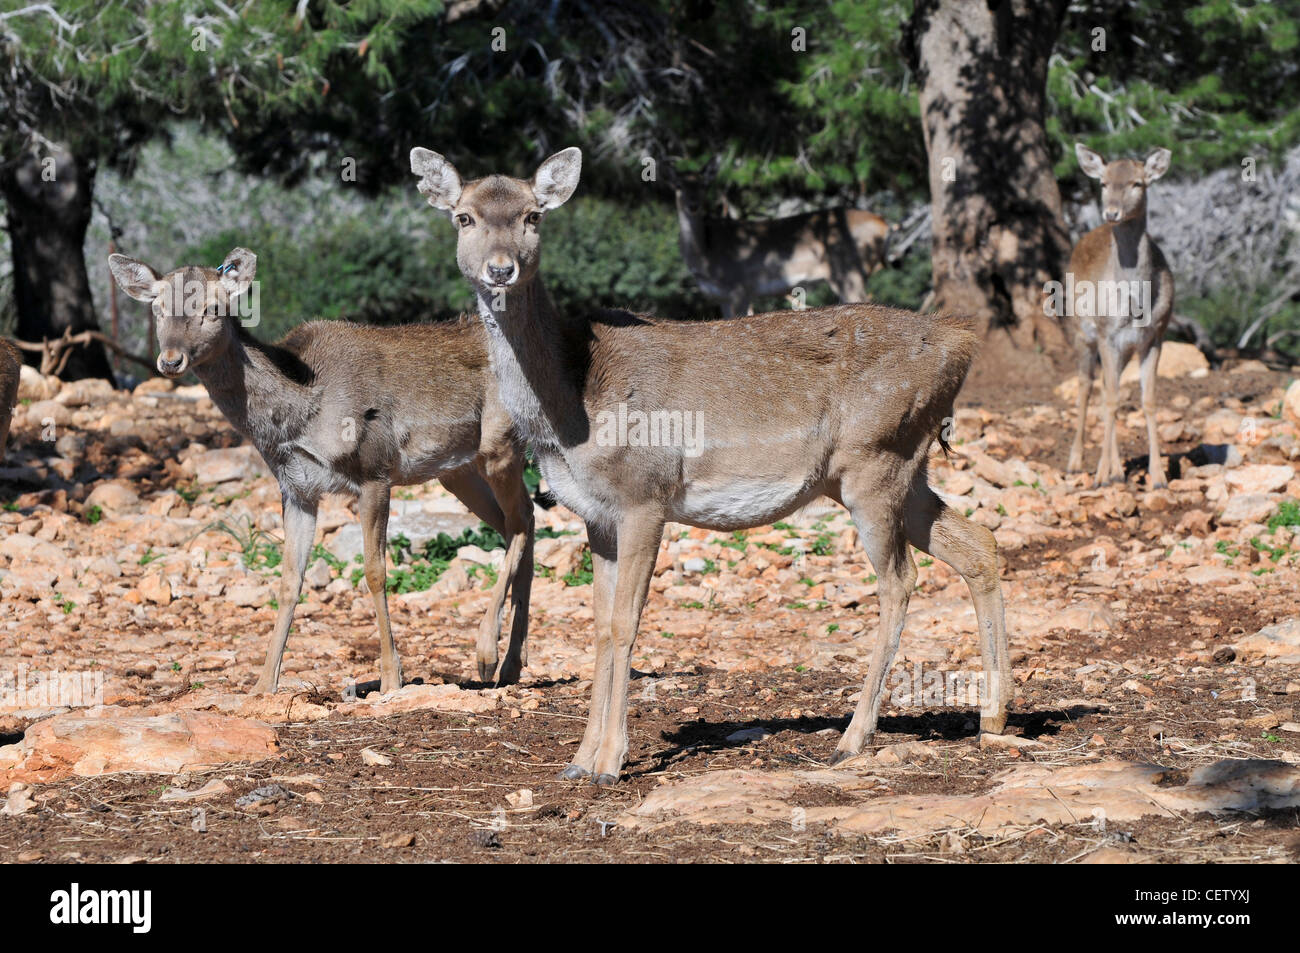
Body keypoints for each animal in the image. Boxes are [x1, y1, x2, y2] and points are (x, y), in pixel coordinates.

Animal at [106, 249, 535, 694]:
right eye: (156, 308)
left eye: (212, 308)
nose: (170, 360)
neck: (299, 414)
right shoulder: (296, 489)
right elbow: (288, 581)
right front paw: (263, 685)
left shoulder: (374, 469)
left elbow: (375, 572)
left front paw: (391, 678)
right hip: (457, 469)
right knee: (518, 522)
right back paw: (512, 663)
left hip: (501, 440)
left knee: (522, 518)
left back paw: (487, 654)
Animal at [667, 165, 889, 318]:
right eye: (678, 185)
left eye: (704, 185)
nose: (693, 205)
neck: (706, 254)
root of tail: (883, 225)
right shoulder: (721, 296)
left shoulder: (740, 287)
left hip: (849, 273)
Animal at [1065, 143, 1174, 488]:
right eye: (1103, 183)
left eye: (1137, 183)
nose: (1111, 212)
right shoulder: (1106, 334)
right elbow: (1112, 399)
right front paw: (1100, 476)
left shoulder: (1155, 335)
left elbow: (1148, 400)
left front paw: (1158, 476)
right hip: (1081, 333)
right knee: (1087, 386)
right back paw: (1077, 462)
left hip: (1122, 349)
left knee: (1103, 390)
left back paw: (1116, 469)